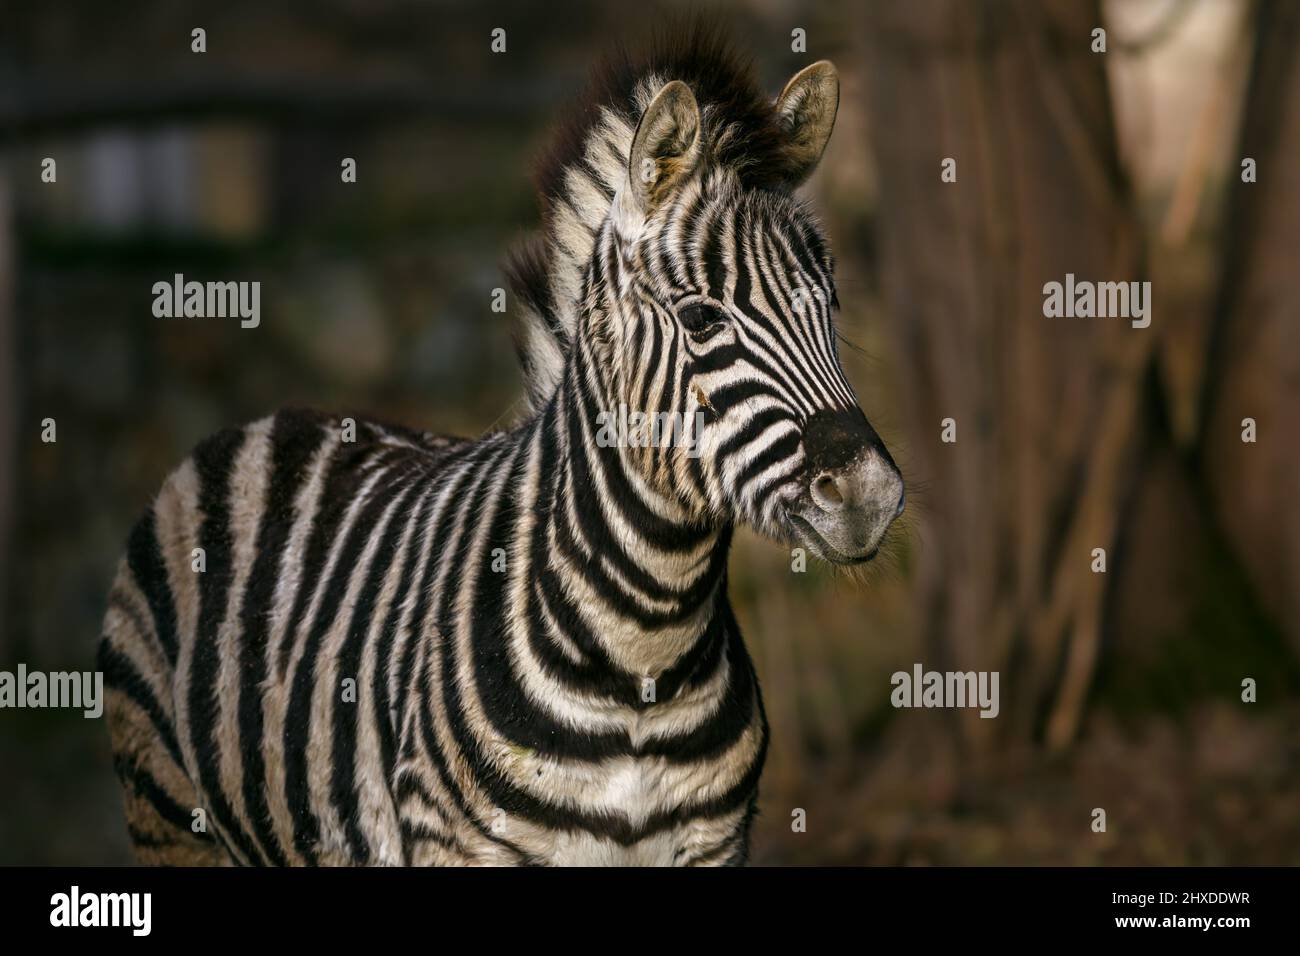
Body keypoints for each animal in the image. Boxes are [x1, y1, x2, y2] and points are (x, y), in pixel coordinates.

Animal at [98, 28, 905, 867]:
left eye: (830, 304)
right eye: (703, 319)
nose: (871, 493)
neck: (645, 653)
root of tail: (272, 419)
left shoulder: (715, 845)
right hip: (166, 813)